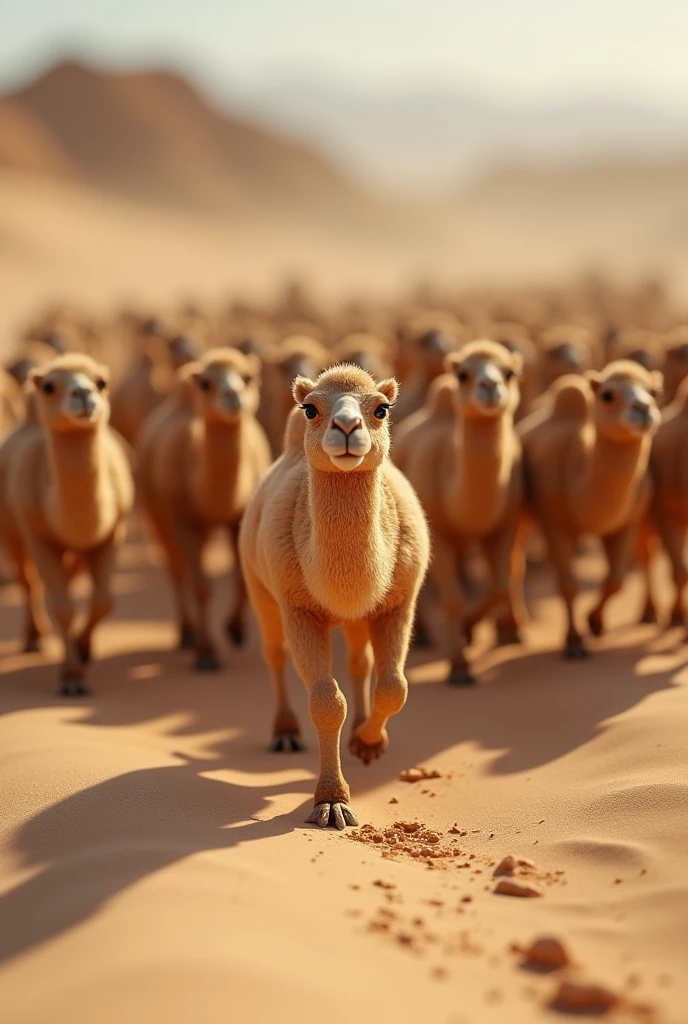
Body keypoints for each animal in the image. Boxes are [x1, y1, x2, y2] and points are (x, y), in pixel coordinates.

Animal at [0, 355, 134, 694]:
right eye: (49, 387)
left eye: (102, 382)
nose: (83, 394)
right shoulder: (39, 536)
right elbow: (61, 605)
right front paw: (71, 678)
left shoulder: (113, 533)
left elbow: (103, 601)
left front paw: (84, 650)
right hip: (12, 534)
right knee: (28, 583)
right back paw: (34, 638)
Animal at [137, 347, 271, 669]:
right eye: (206, 383)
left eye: (247, 377)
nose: (232, 396)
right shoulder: (184, 521)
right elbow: (201, 585)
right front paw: (207, 653)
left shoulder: (238, 520)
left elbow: (241, 578)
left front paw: (235, 630)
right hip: (155, 512)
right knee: (176, 569)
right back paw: (186, 633)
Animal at [239, 364, 429, 829]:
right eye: (310, 409)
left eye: (382, 409)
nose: (346, 427)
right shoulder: (298, 608)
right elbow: (326, 702)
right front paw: (331, 802)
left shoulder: (399, 601)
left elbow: (394, 686)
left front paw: (368, 742)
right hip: (258, 584)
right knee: (273, 653)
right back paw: (285, 733)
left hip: (358, 618)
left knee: (360, 661)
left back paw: (363, 733)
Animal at [394, 341, 524, 683]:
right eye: (463, 374)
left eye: (510, 372)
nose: (489, 387)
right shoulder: (439, 535)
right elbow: (452, 599)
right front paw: (459, 667)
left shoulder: (502, 526)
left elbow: (499, 584)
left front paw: (469, 628)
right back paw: (424, 636)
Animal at [519, 360, 661, 657]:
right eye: (607, 395)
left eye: (654, 392)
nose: (643, 409)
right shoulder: (554, 524)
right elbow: (568, 584)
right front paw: (574, 641)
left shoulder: (624, 522)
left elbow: (616, 579)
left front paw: (594, 623)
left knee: (645, 557)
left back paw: (650, 613)